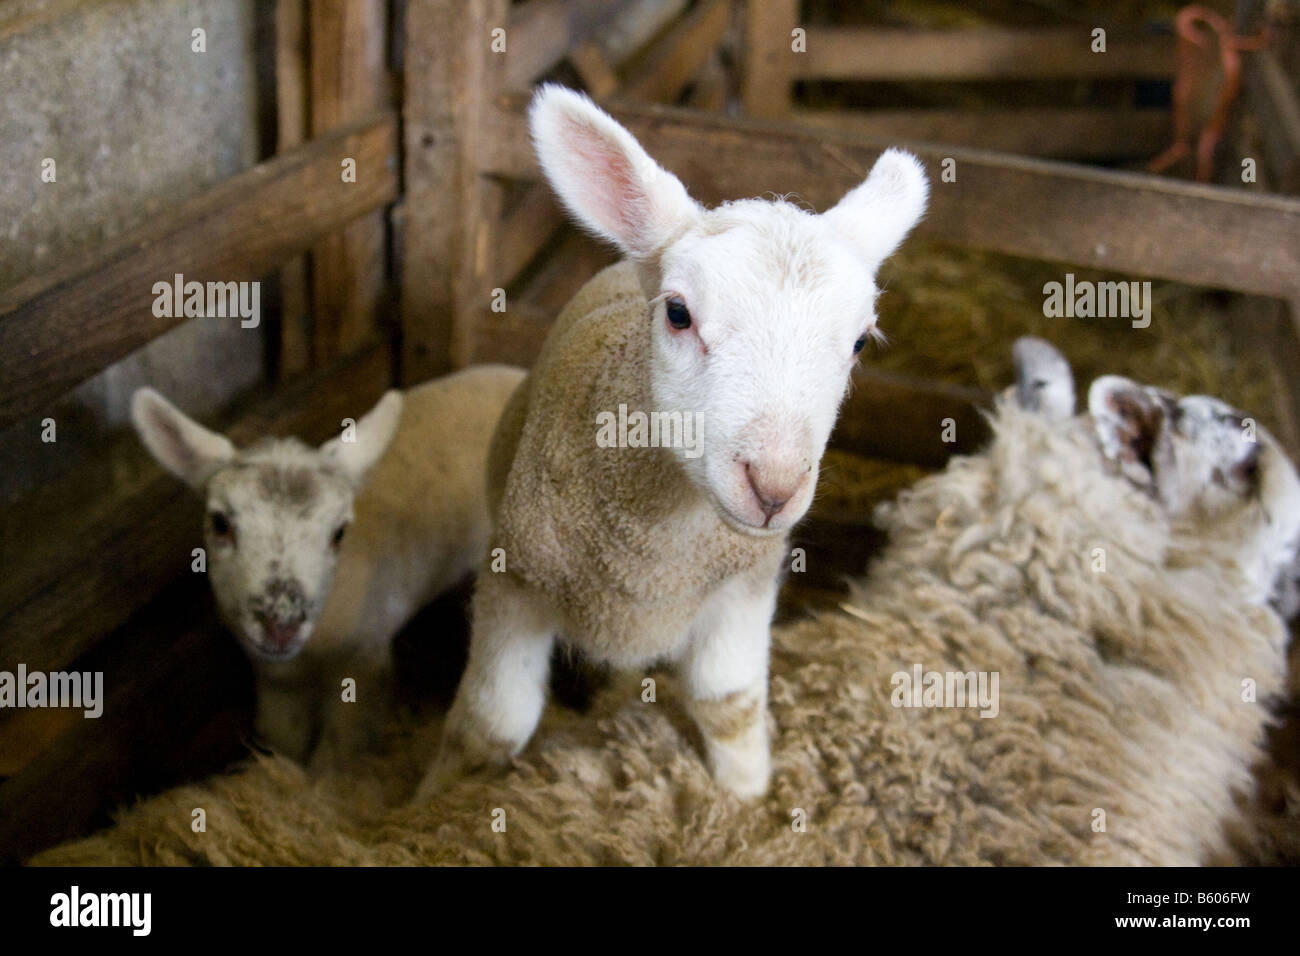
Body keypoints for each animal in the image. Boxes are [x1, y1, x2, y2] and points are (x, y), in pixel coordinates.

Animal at [131, 364, 526, 766]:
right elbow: (283, 738)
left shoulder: (364, 660)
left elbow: (339, 752)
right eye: (220, 523)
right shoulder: (275, 679)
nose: (281, 626)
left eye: (339, 533)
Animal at [417, 85, 930, 800]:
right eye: (679, 313)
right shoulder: (515, 579)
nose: (774, 486)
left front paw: (746, 797)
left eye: (858, 342)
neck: (660, 548)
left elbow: (728, 702)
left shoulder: (744, 585)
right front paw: (425, 807)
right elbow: (490, 727)